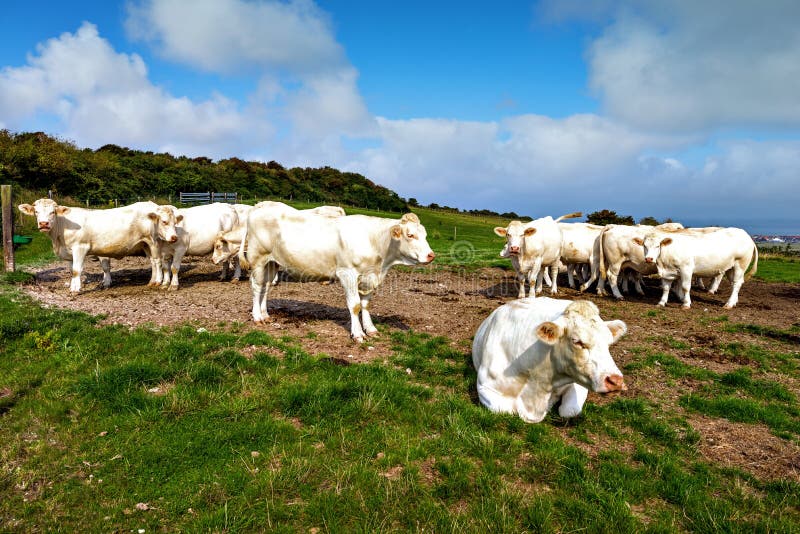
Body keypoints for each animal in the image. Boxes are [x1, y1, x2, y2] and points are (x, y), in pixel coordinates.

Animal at [18, 199, 180, 292]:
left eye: (52, 212)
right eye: (36, 212)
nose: (43, 224)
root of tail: (153, 205)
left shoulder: (80, 247)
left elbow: (77, 270)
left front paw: (76, 289)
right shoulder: (69, 253)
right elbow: (72, 271)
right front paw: (73, 285)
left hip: (154, 241)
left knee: (157, 262)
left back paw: (158, 281)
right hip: (145, 244)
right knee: (152, 262)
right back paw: (151, 281)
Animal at [240, 210, 435, 342]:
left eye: (425, 234)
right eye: (410, 235)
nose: (431, 255)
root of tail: (260, 206)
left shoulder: (369, 277)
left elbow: (366, 304)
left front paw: (371, 329)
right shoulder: (347, 273)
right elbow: (355, 305)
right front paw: (358, 333)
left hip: (272, 262)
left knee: (265, 287)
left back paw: (265, 315)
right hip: (258, 259)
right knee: (257, 287)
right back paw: (257, 317)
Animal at [472, 298, 627, 423]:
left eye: (609, 342)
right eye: (577, 341)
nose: (615, 381)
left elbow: (569, 411)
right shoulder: (485, 386)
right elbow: (505, 409)